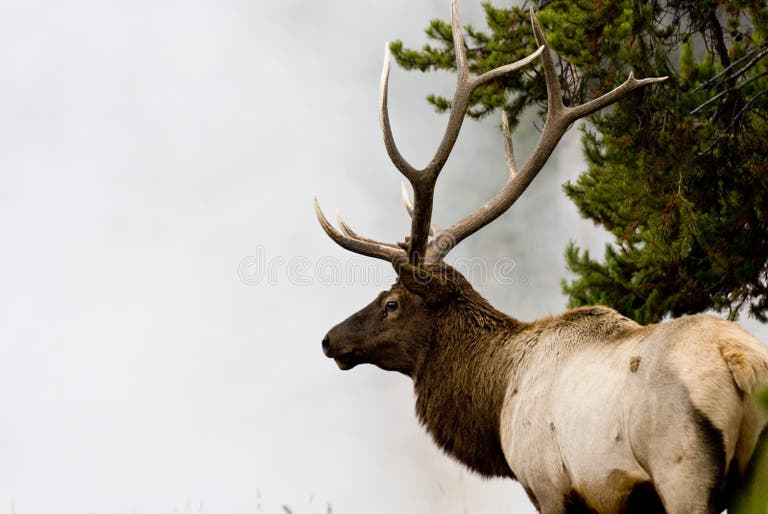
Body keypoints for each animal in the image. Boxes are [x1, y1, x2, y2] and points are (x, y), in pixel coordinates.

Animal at [313, 2, 768, 513]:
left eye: (391, 303)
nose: (330, 339)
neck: (496, 403)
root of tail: (741, 363)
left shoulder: (547, 483)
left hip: (681, 466)